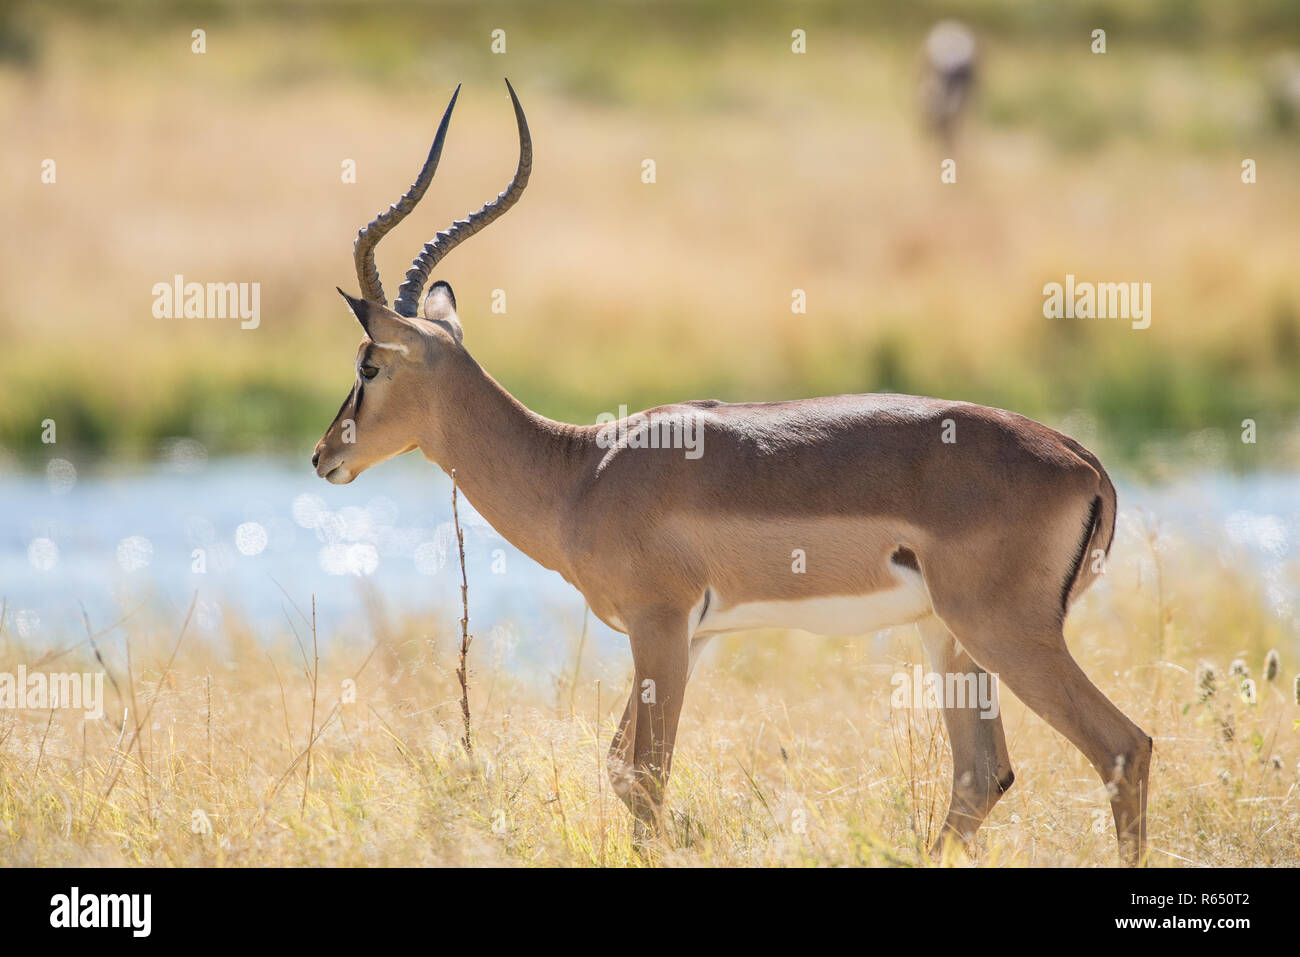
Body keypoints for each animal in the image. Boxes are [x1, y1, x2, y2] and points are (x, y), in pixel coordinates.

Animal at [312, 80, 1152, 865]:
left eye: (368, 363)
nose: (324, 456)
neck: (580, 472)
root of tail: (1083, 460)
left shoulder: (659, 623)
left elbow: (645, 772)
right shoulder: (693, 633)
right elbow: (620, 767)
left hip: (1003, 631)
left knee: (1122, 745)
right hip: (946, 634)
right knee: (983, 772)